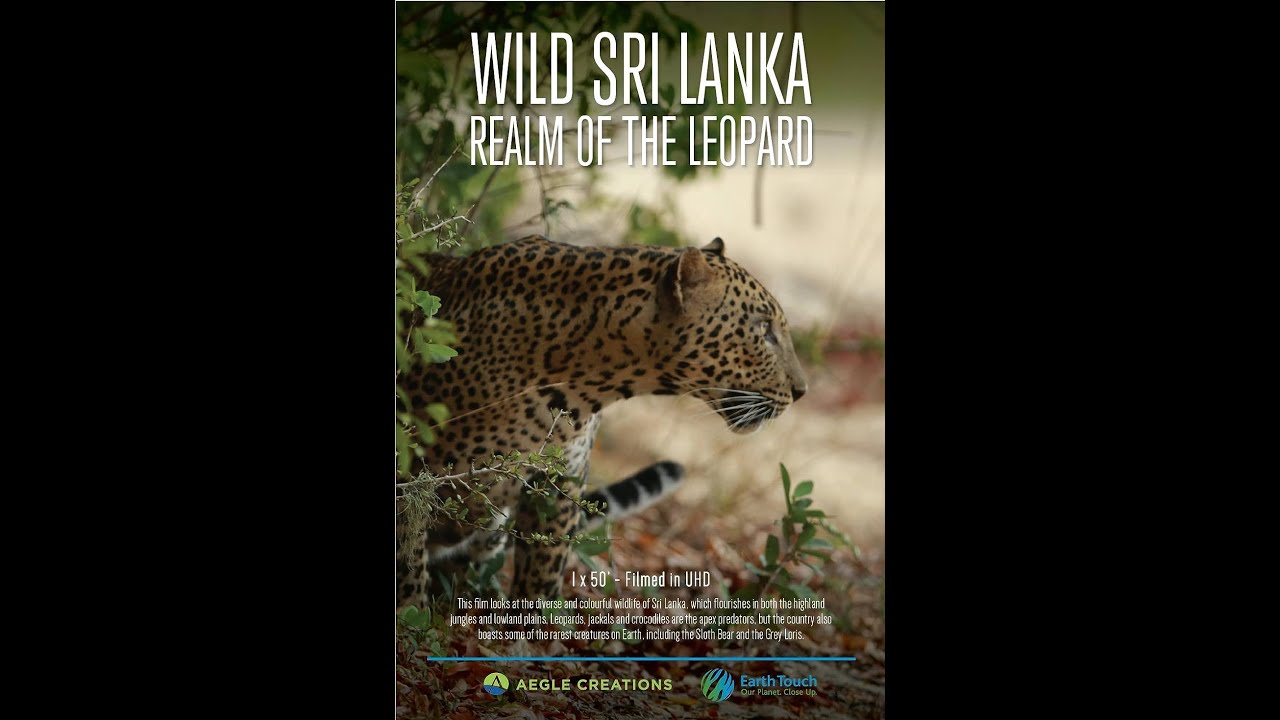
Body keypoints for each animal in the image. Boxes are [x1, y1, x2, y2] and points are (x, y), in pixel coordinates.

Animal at [396, 235, 807, 604]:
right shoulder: (412, 471)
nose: (801, 391)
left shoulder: (559, 481)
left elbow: (543, 570)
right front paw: (412, 617)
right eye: (764, 330)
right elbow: (408, 558)